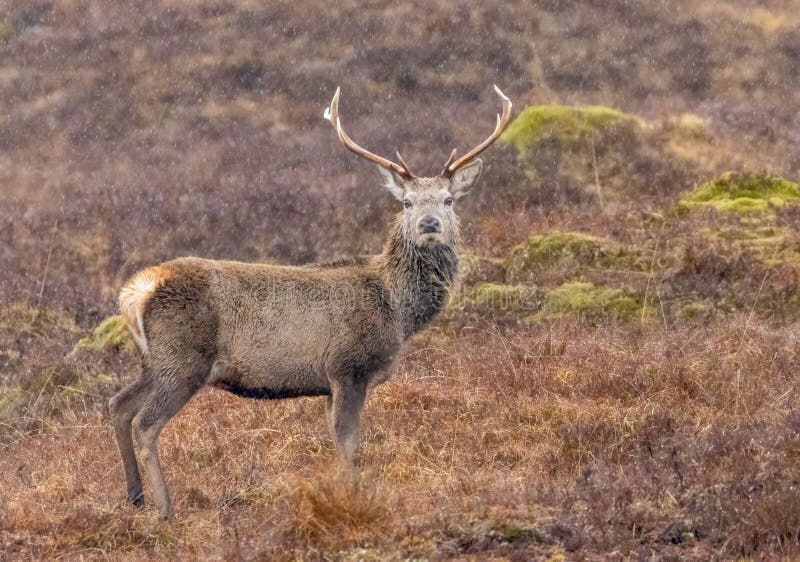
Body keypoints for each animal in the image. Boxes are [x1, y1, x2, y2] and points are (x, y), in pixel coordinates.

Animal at [109, 85, 512, 519]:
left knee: (119, 404)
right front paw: (353, 498)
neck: (397, 309)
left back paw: (135, 496)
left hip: (155, 361)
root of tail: (136, 291)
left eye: (448, 200)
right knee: (146, 423)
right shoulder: (348, 366)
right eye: (406, 202)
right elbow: (349, 444)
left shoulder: (330, 382)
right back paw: (165, 509)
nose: (430, 224)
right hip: (182, 359)